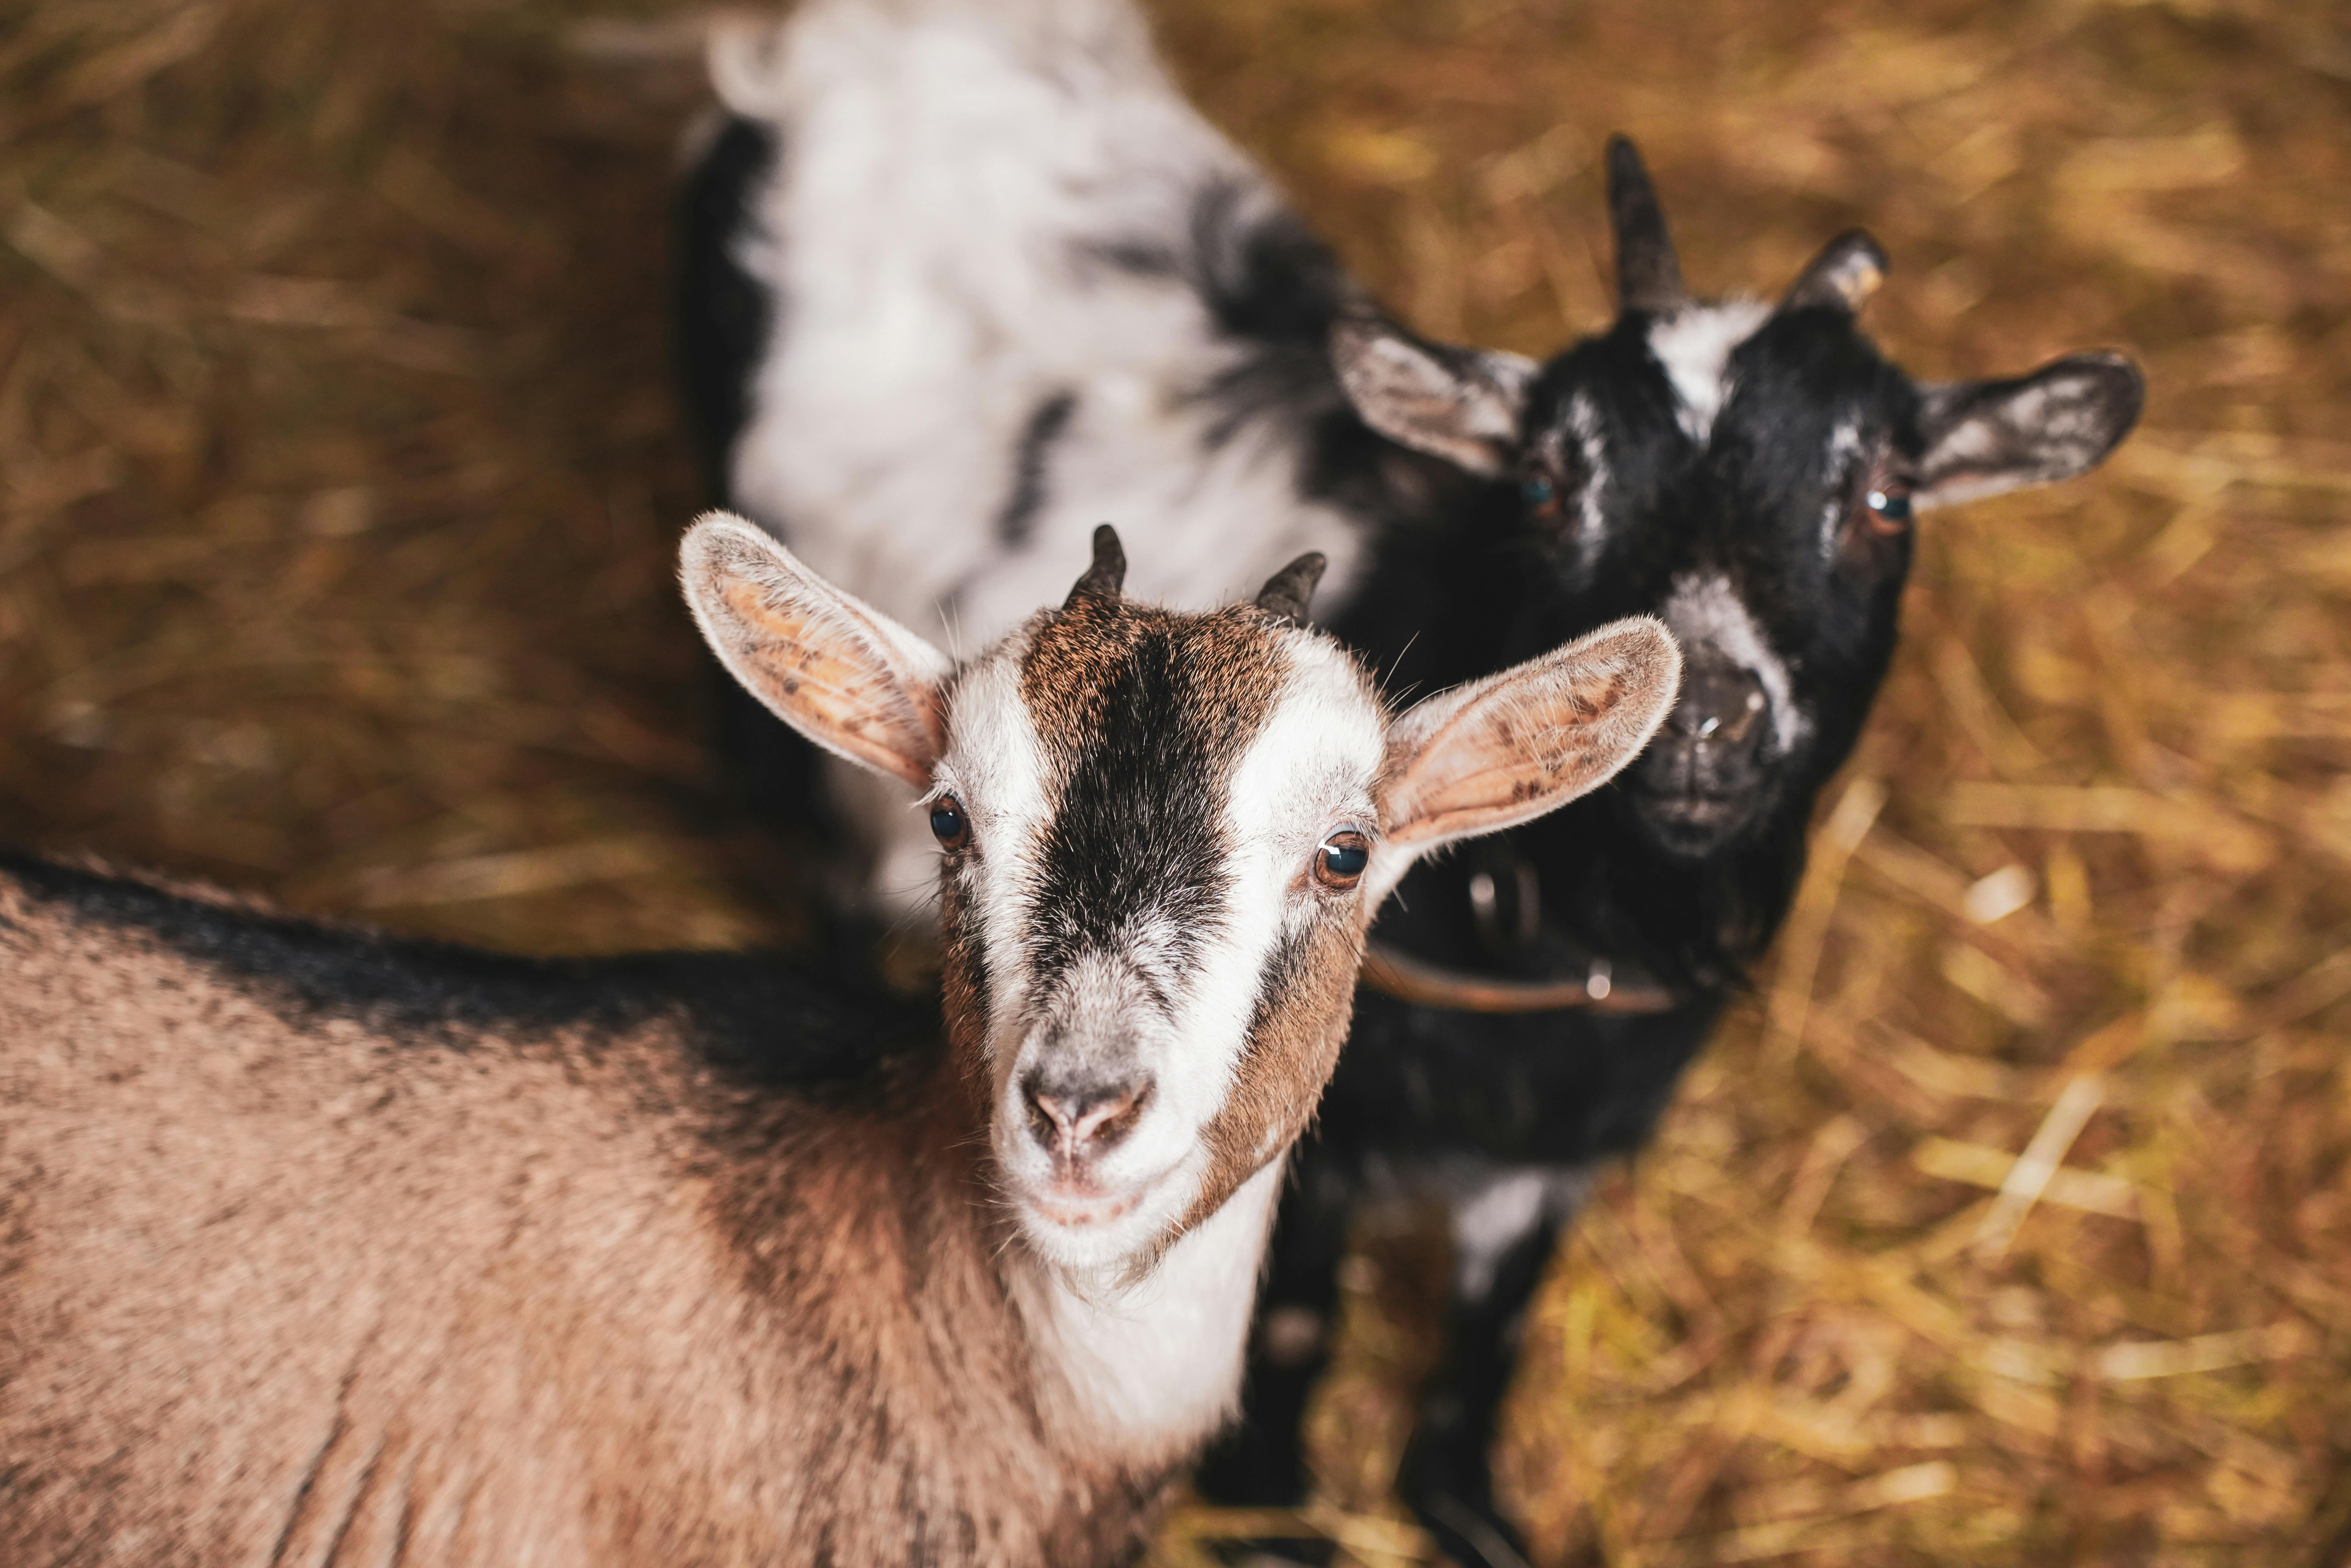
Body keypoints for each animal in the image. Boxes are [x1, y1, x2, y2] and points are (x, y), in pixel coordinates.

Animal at [675, 3, 2144, 1561]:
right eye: (1551, 484)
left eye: (1880, 499)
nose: (1704, 718)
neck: (1569, 928)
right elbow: (1296, 1321)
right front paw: (1270, 1502)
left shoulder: (1568, 1133)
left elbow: (1490, 1327)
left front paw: (1463, 1504)